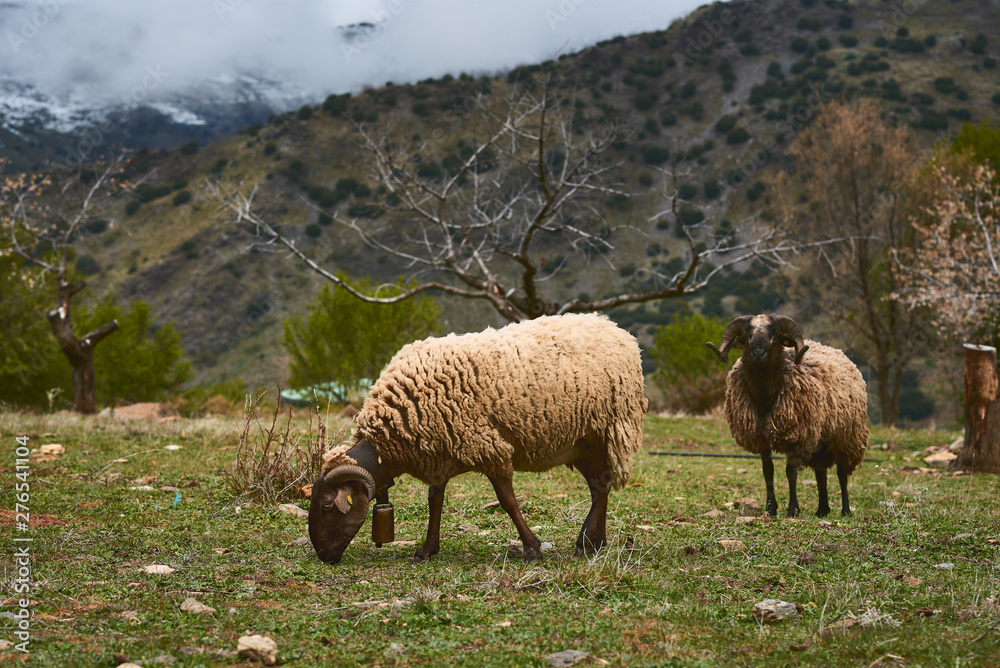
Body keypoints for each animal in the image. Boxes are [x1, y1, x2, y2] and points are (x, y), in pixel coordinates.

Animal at [308, 312, 648, 564]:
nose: (323, 555)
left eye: (326, 506)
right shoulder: (439, 453)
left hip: (607, 430)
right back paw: (594, 542)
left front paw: (531, 548)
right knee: (598, 487)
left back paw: (586, 542)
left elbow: (507, 501)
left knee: (602, 485)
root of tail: (615, 328)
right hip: (582, 444)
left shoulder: (489, 447)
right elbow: (435, 501)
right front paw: (427, 550)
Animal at [707, 314, 868, 517]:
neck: (765, 396)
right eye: (745, 335)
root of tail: (836, 350)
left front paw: (793, 509)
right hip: (821, 440)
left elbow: (790, 472)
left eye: (774, 334)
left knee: (841, 474)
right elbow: (768, 472)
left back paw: (845, 510)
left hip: (846, 437)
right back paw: (822, 510)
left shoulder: (796, 436)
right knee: (821, 472)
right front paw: (770, 509)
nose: (758, 354)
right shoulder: (761, 438)